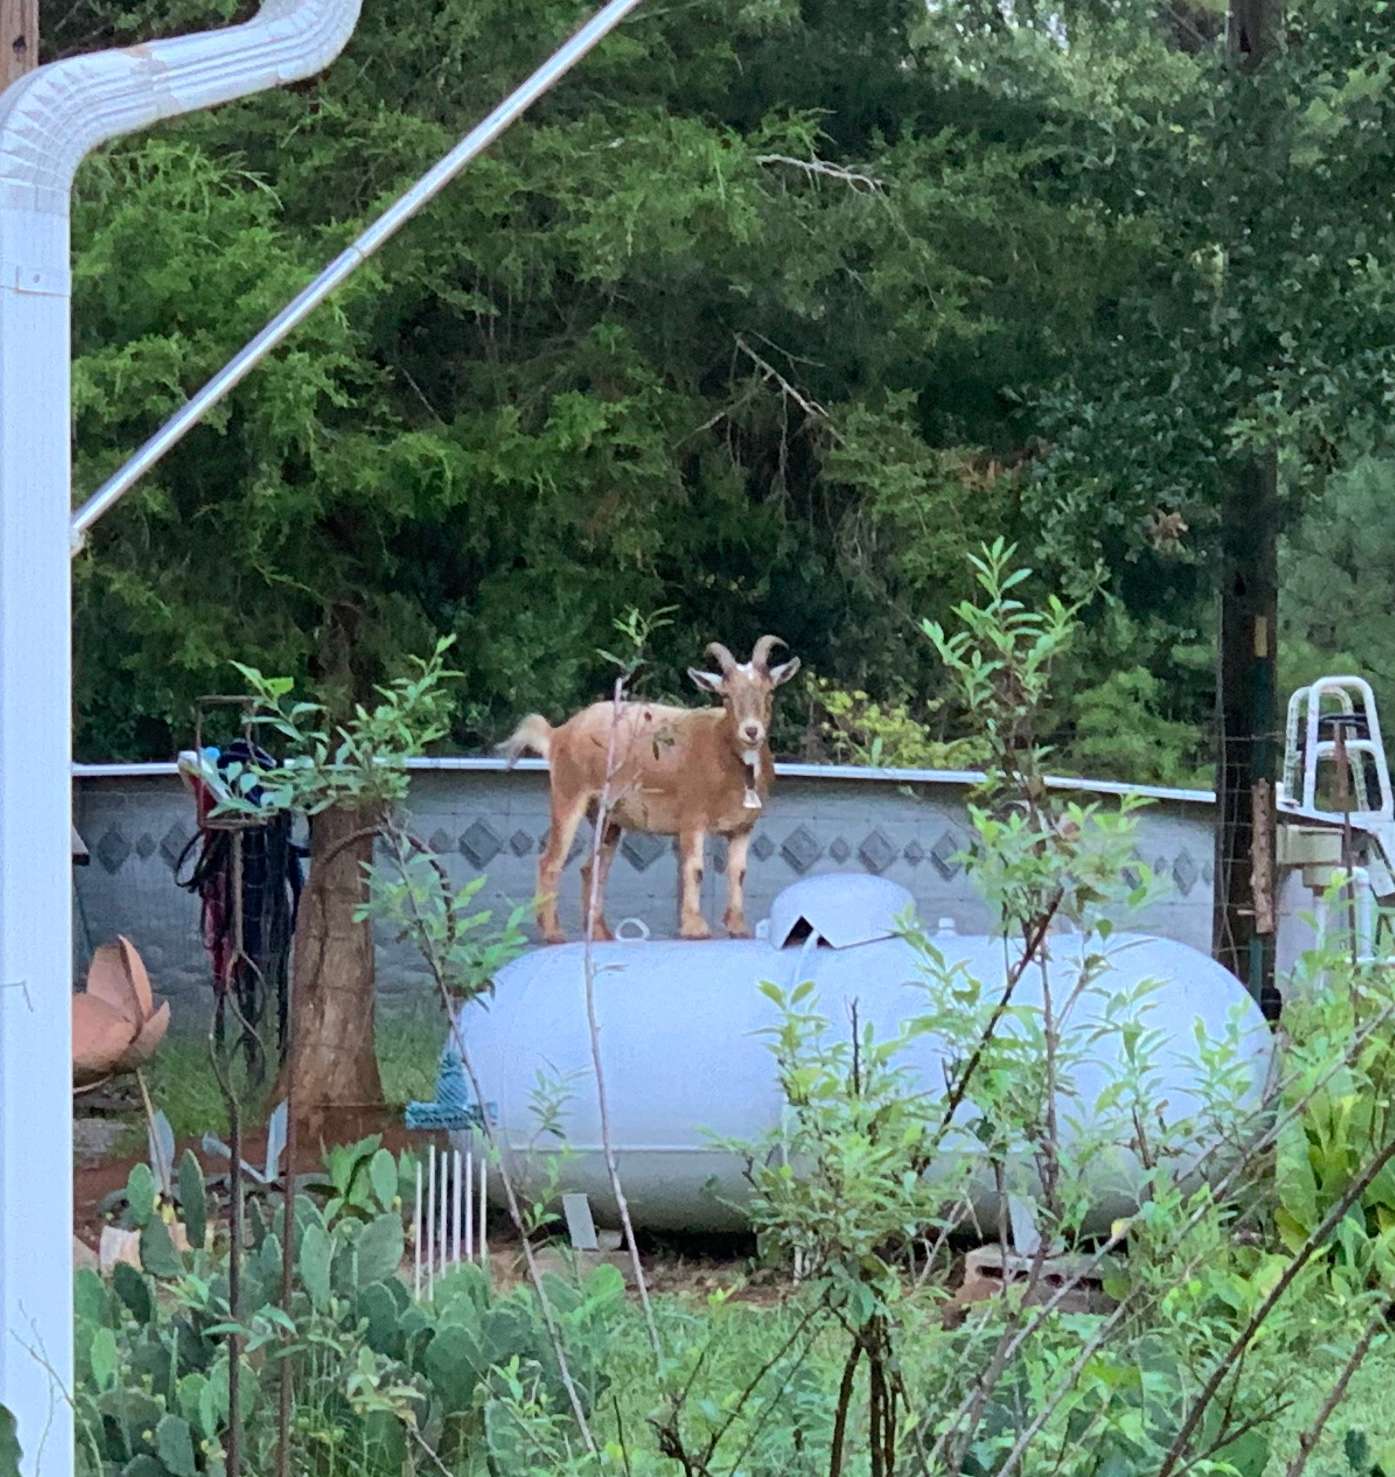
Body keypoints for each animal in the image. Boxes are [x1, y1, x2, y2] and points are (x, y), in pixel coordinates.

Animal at [500, 636, 800, 944]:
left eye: (769, 692)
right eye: (726, 695)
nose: (751, 731)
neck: (723, 749)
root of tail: (558, 733)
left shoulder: (742, 827)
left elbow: (738, 873)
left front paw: (739, 928)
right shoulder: (692, 817)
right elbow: (695, 869)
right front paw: (695, 928)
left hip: (606, 818)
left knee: (593, 868)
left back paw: (601, 933)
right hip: (568, 794)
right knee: (550, 861)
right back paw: (553, 933)